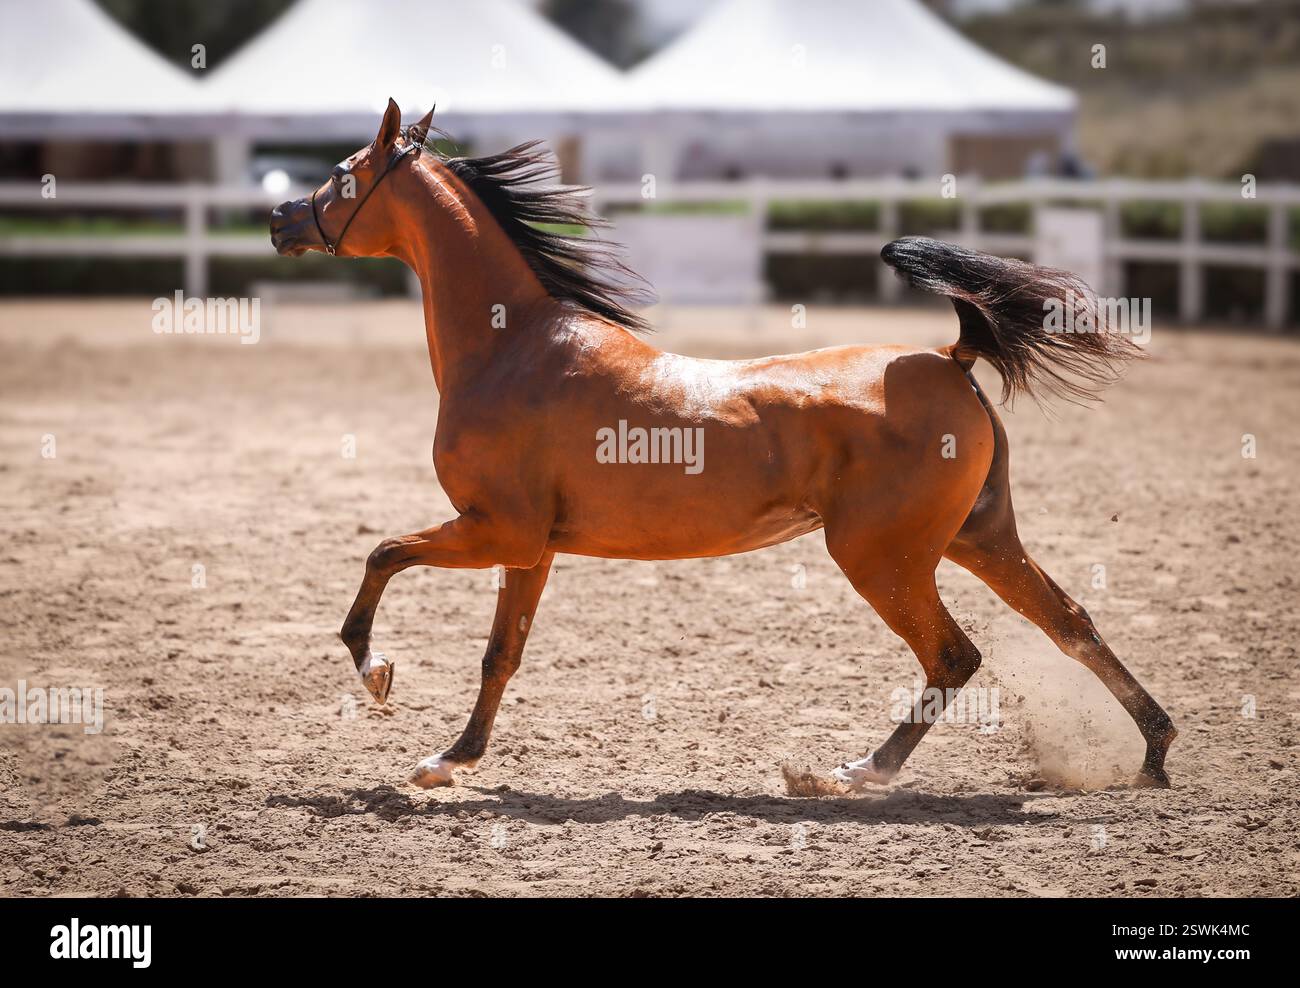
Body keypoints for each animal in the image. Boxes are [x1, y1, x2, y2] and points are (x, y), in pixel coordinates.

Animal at [269, 99, 1176, 791]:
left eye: (345, 174)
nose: (279, 220)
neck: (514, 347)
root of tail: (950, 358)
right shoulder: (531, 548)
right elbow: (501, 654)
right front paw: (452, 758)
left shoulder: (496, 530)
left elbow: (383, 555)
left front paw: (377, 674)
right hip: (978, 539)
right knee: (1070, 623)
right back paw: (1154, 754)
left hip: (882, 556)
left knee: (955, 656)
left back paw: (853, 773)